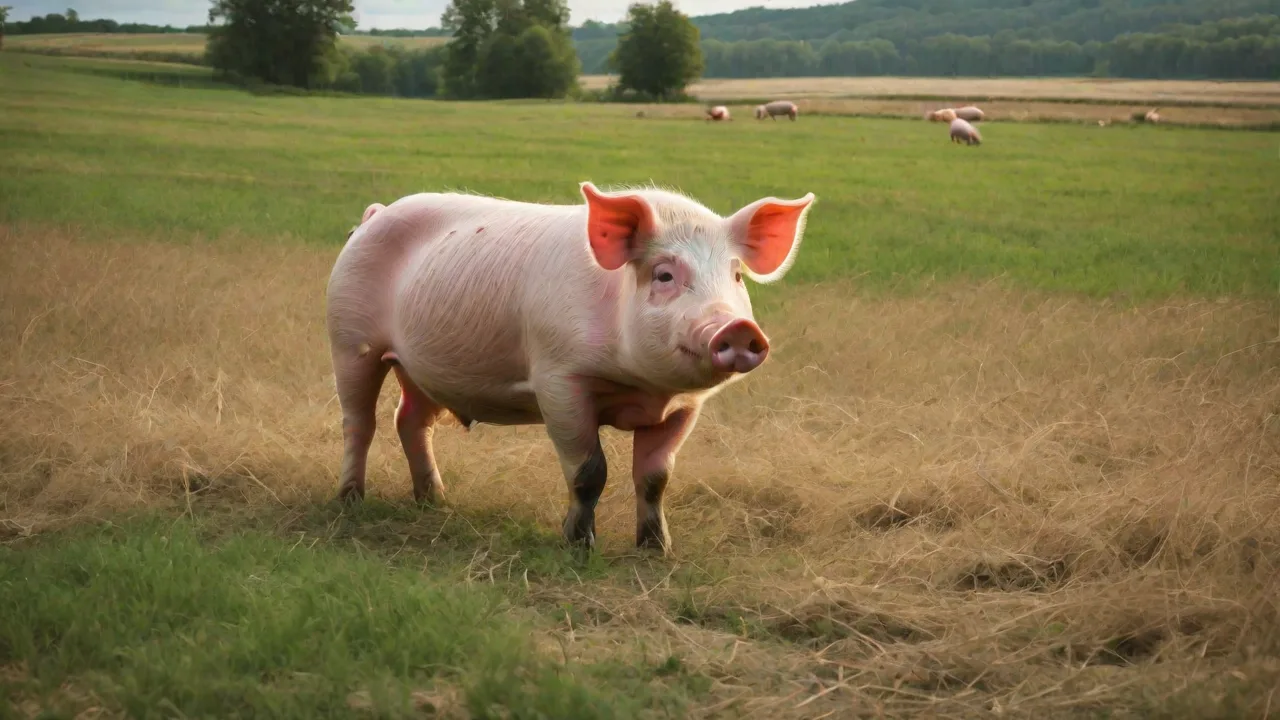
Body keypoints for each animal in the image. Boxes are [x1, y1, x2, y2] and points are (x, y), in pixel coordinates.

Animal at [326, 182, 817, 554]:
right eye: (664, 275)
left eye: (736, 276)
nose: (736, 327)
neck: (644, 388)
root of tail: (375, 214)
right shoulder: (559, 378)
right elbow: (588, 470)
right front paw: (580, 546)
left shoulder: (684, 406)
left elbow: (656, 476)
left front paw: (657, 550)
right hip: (350, 340)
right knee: (359, 421)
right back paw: (350, 501)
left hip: (419, 367)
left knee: (409, 420)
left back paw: (435, 502)